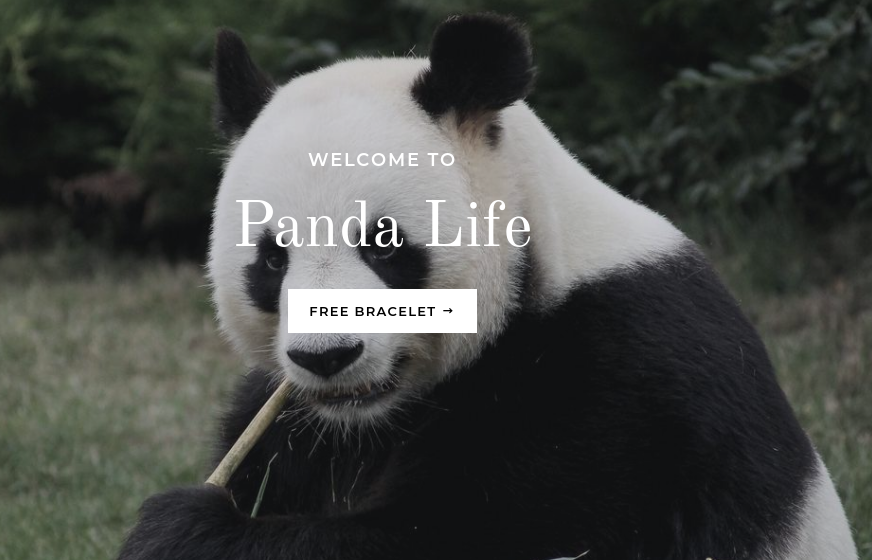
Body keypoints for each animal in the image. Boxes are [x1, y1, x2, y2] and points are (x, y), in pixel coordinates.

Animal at [117, 14, 858, 560]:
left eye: (383, 244)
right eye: (273, 260)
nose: (327, 357)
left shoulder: (618, 388)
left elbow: (479, 534)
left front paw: (183, 530)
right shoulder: (294, 423)